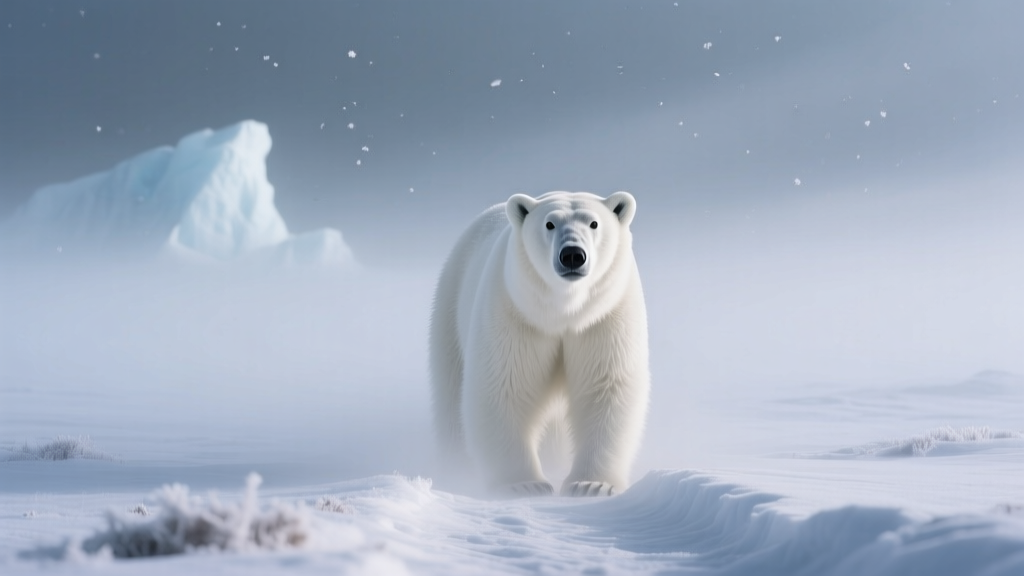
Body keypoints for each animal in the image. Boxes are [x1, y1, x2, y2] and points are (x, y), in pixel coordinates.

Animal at [429, 191, 649, 497]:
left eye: (594, 223)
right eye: (549, 224)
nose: (572, 255)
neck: (564, 312)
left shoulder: (605, 317)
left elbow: (606, 388)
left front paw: (592, 484)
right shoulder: (515, 315)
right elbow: (505, 386)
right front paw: (523, 484)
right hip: (450, 307)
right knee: (450, 399)